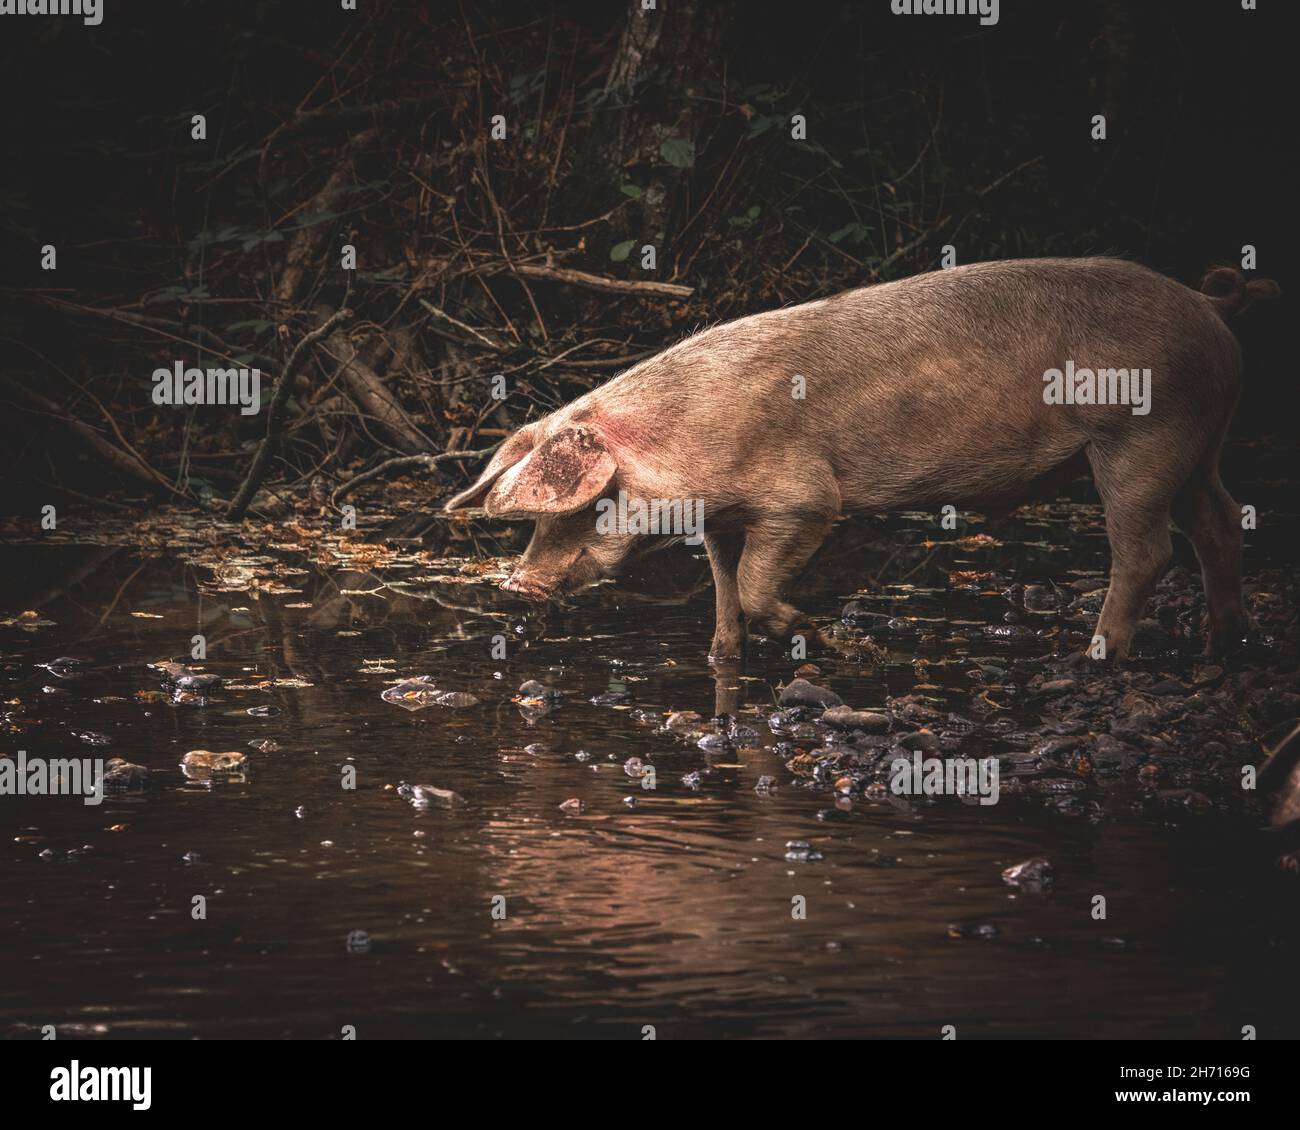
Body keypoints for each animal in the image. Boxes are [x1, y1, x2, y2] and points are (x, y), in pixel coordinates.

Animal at [444, 257, 1279, 661]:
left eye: (589, 505)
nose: (516, 585)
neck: (688, 441)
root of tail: (1211, 306)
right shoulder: (722, 516)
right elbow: (722, 589)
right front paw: (721, 657)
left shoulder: (804, 500)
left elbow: (756, 585)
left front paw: (833, 638)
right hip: (1198, 438)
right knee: (1220, 523)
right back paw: (1223, 640)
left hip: (1141, 437)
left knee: (1148, 550)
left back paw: (1098, 656)